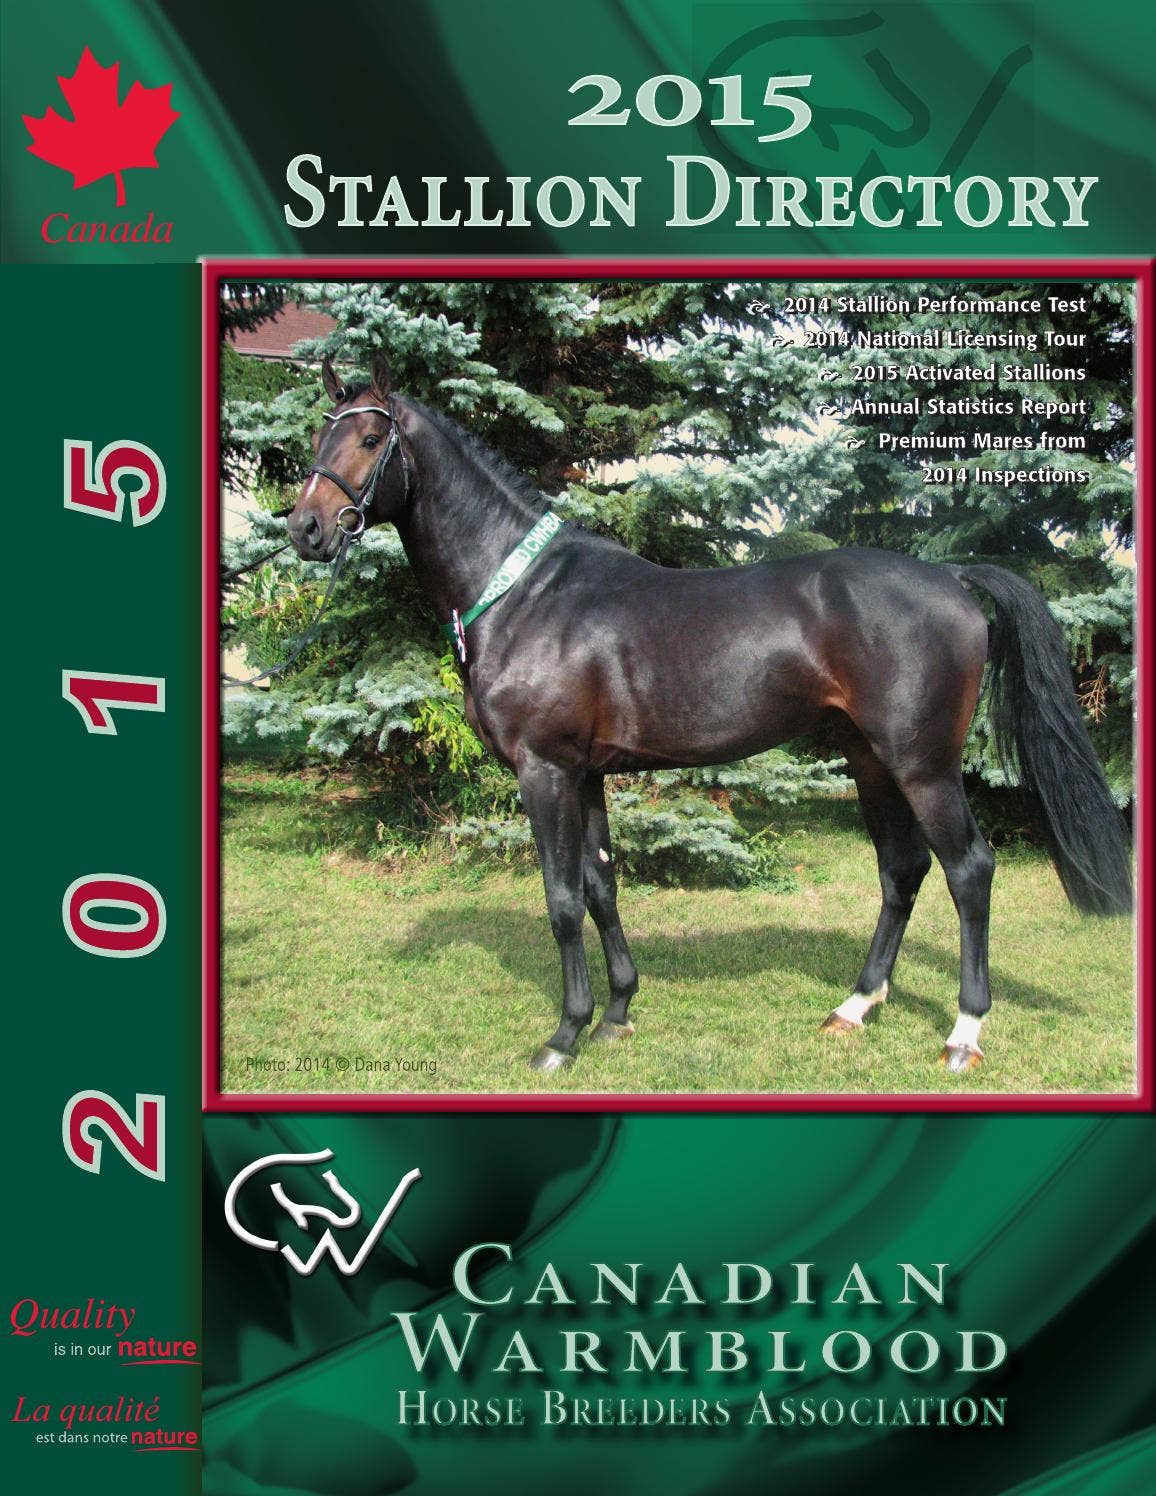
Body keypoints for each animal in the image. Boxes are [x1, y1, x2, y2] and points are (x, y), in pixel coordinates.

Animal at [285, 352, 1132, 1077]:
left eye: (370, 437)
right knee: (903, 870)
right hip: (870, 759)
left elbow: (561, 901)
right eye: (319, 435)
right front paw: (618, 1014)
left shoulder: (545, 770)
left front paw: (565, 1035)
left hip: (923, 764)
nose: (306, 529)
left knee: (969, 872)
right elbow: (600, 886)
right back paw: (855, 1006)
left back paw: (963, 1033)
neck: (527, 595)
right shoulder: (587, 774)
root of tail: (949, 576)